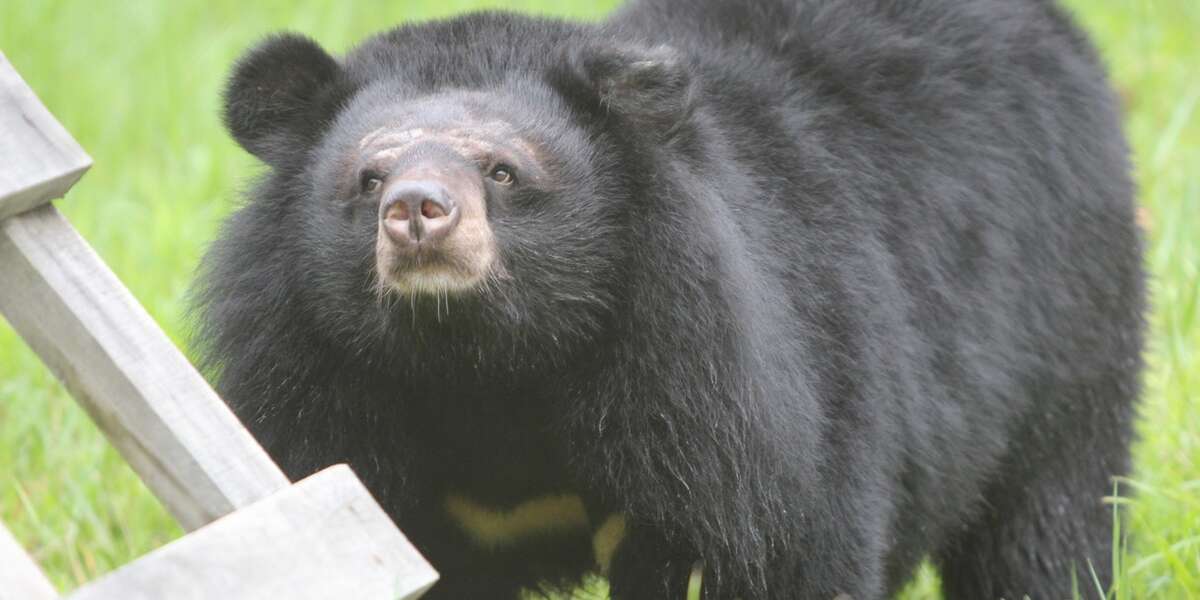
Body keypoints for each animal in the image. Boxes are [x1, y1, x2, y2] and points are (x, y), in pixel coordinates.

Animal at [195, 0, 1144, 598]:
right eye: (369, 177)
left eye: (503, 171)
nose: (418, 213)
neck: (484, 366)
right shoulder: (322, 396)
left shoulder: (721, 401)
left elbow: (784, 551)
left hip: (1067, 304)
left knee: (1049, 515)